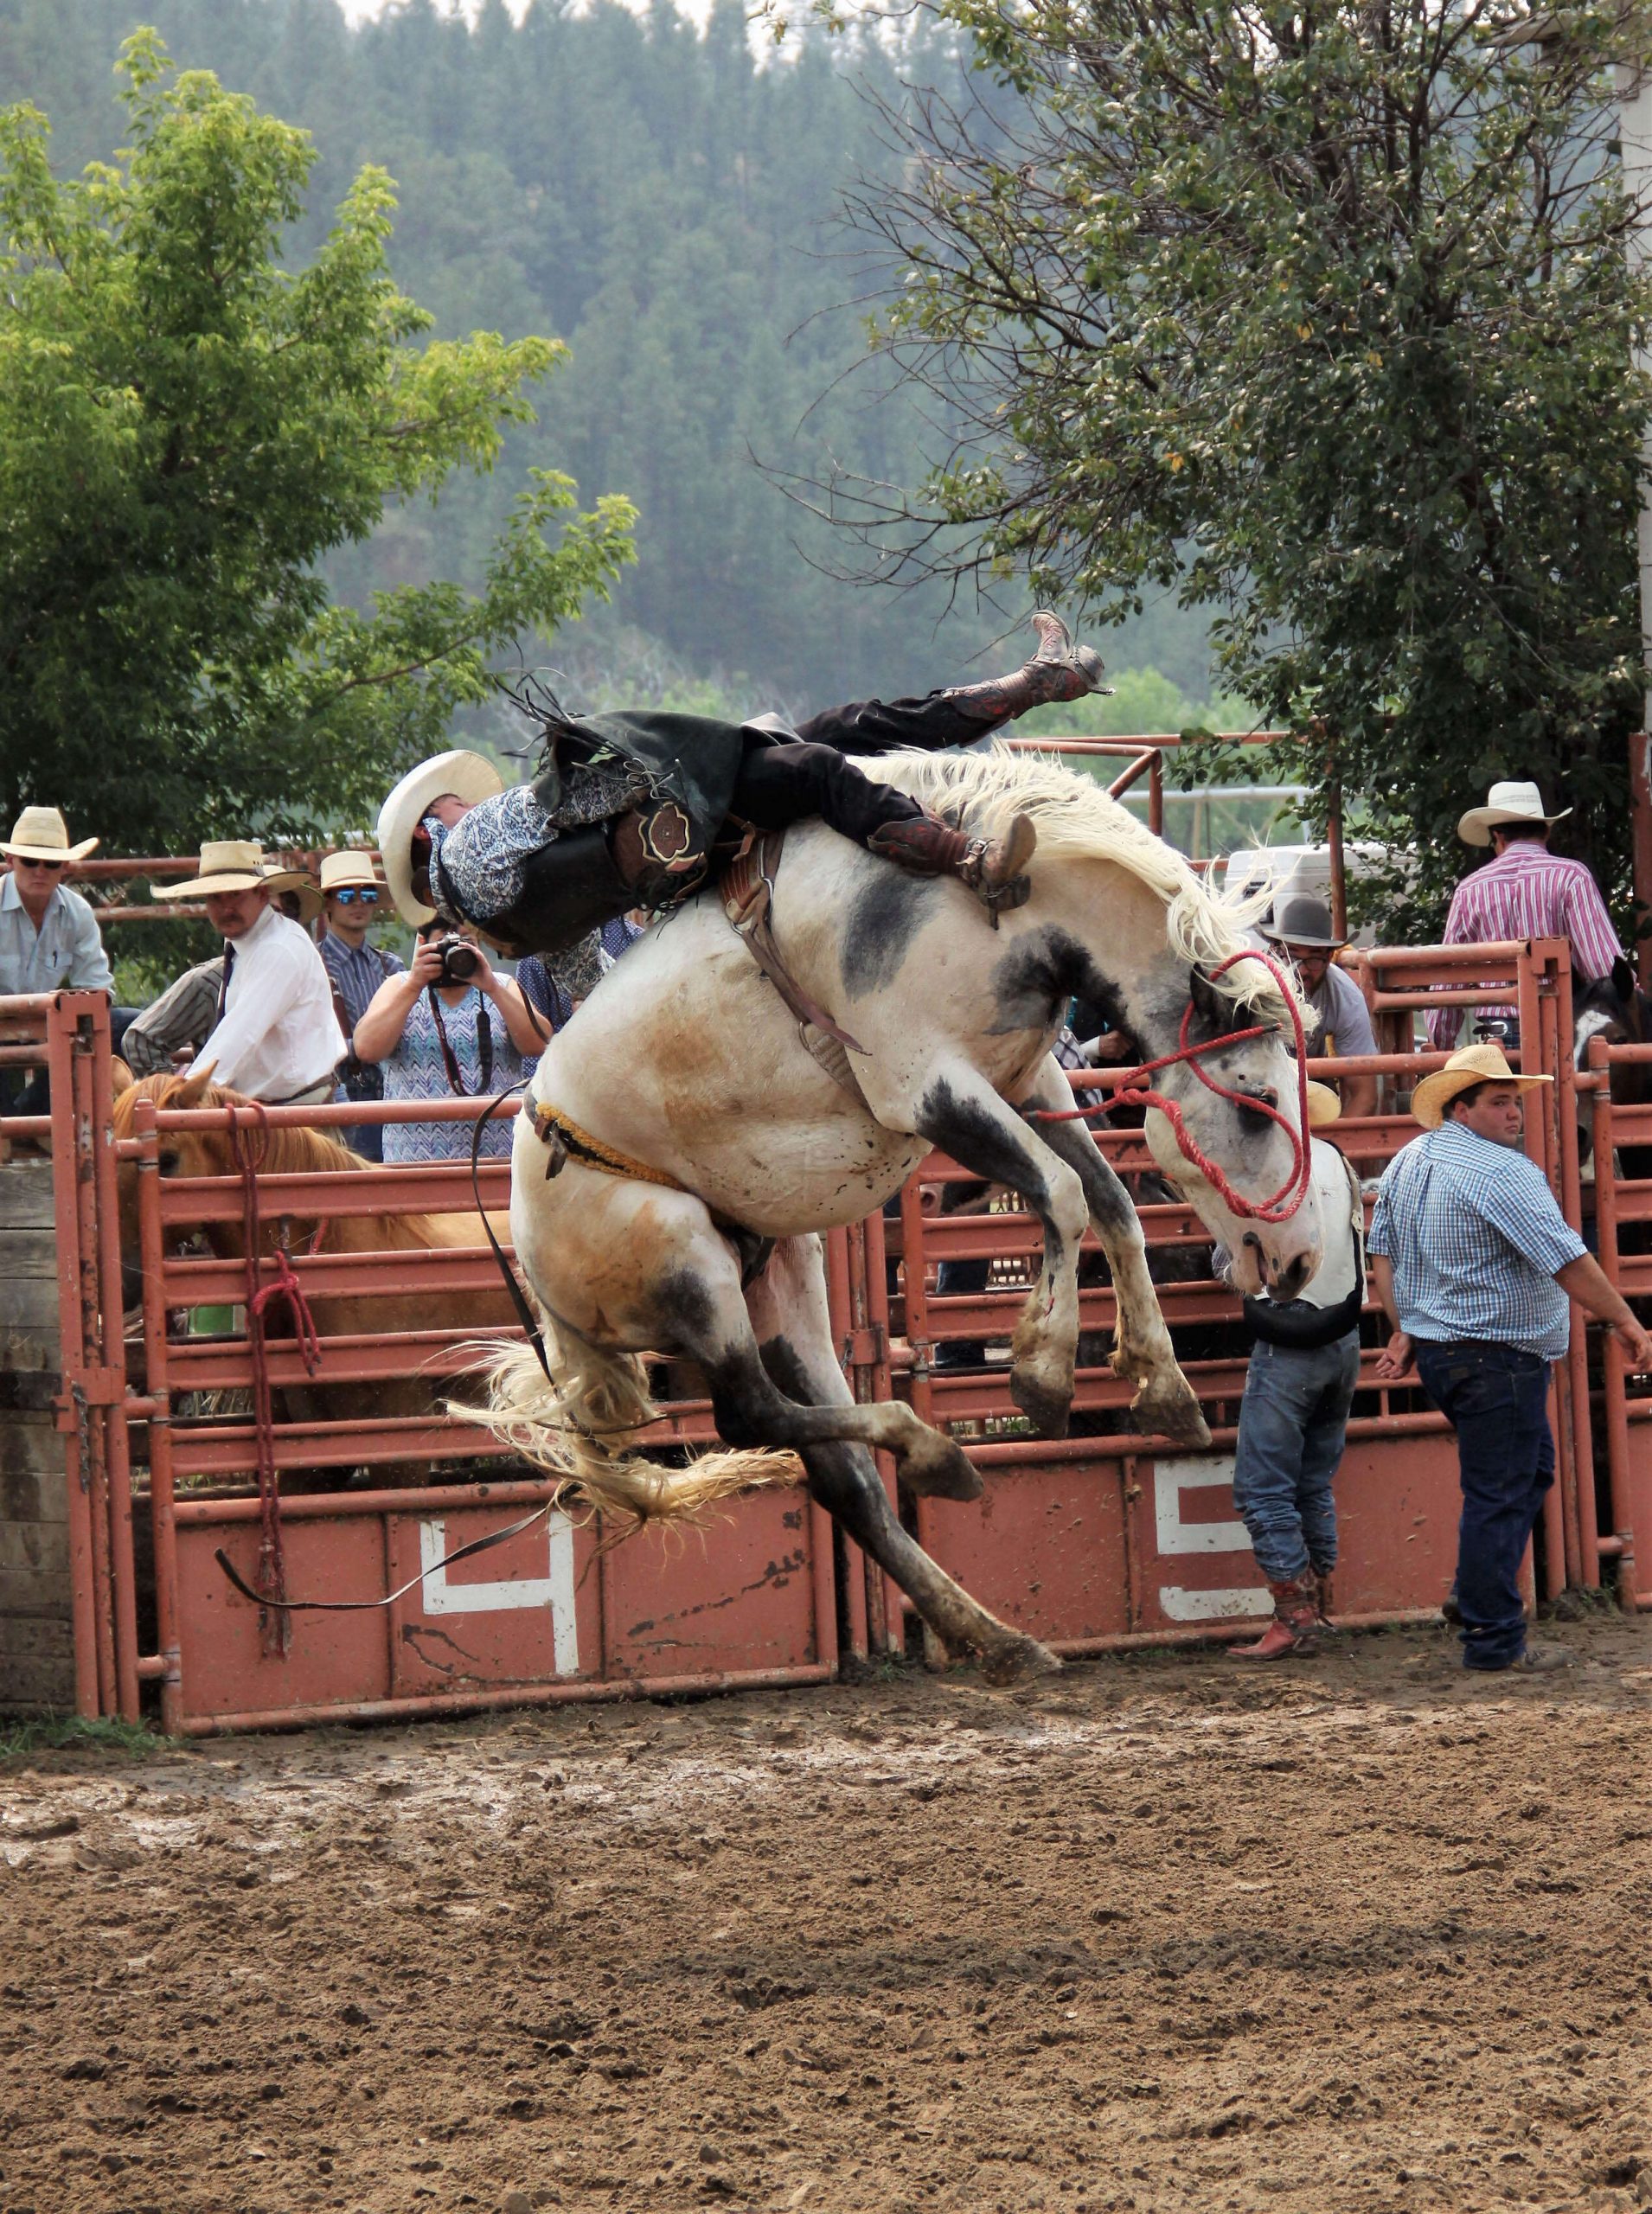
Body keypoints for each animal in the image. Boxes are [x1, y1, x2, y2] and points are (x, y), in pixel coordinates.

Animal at [457, 744, 1320, 1686]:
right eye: (1255, 1102)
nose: (1298, 1262)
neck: (999, 900)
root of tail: (535, 1272)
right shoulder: (926, 1086)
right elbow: (1059, 1194)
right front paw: (1042, 1374)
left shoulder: (1027, 1078)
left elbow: (1110, 1199)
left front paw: (1162, 1386)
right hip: (683, 1259)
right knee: (748, 1415)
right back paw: (932, 1450)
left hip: (782, 1283)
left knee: (844, 1482)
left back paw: (990, 1631)